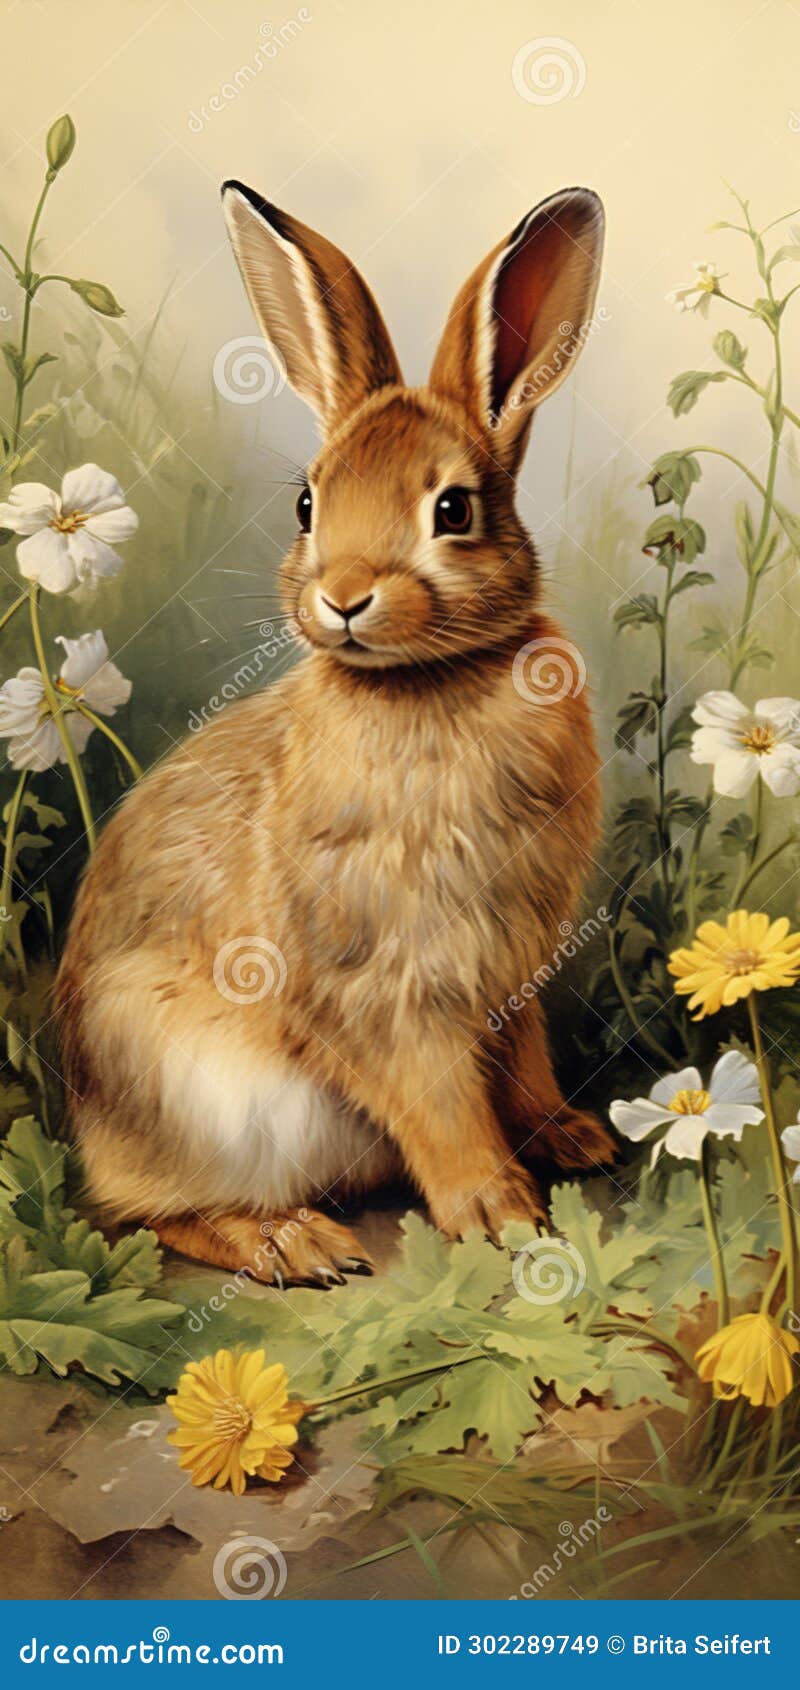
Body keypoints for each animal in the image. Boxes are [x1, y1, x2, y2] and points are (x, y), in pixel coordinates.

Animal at [55, 179, 616, 1288]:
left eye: (454, 509)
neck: (425, 683)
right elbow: (438, 1100)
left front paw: (572, 1139)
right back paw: (293, 1241)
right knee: (144, 1213)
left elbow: (522, 1060)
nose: (344, 597)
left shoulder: (512, 972)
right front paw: (497, 1210)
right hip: (207, 1100)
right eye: (310, 501)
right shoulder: (380, 981)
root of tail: (83, 1120)